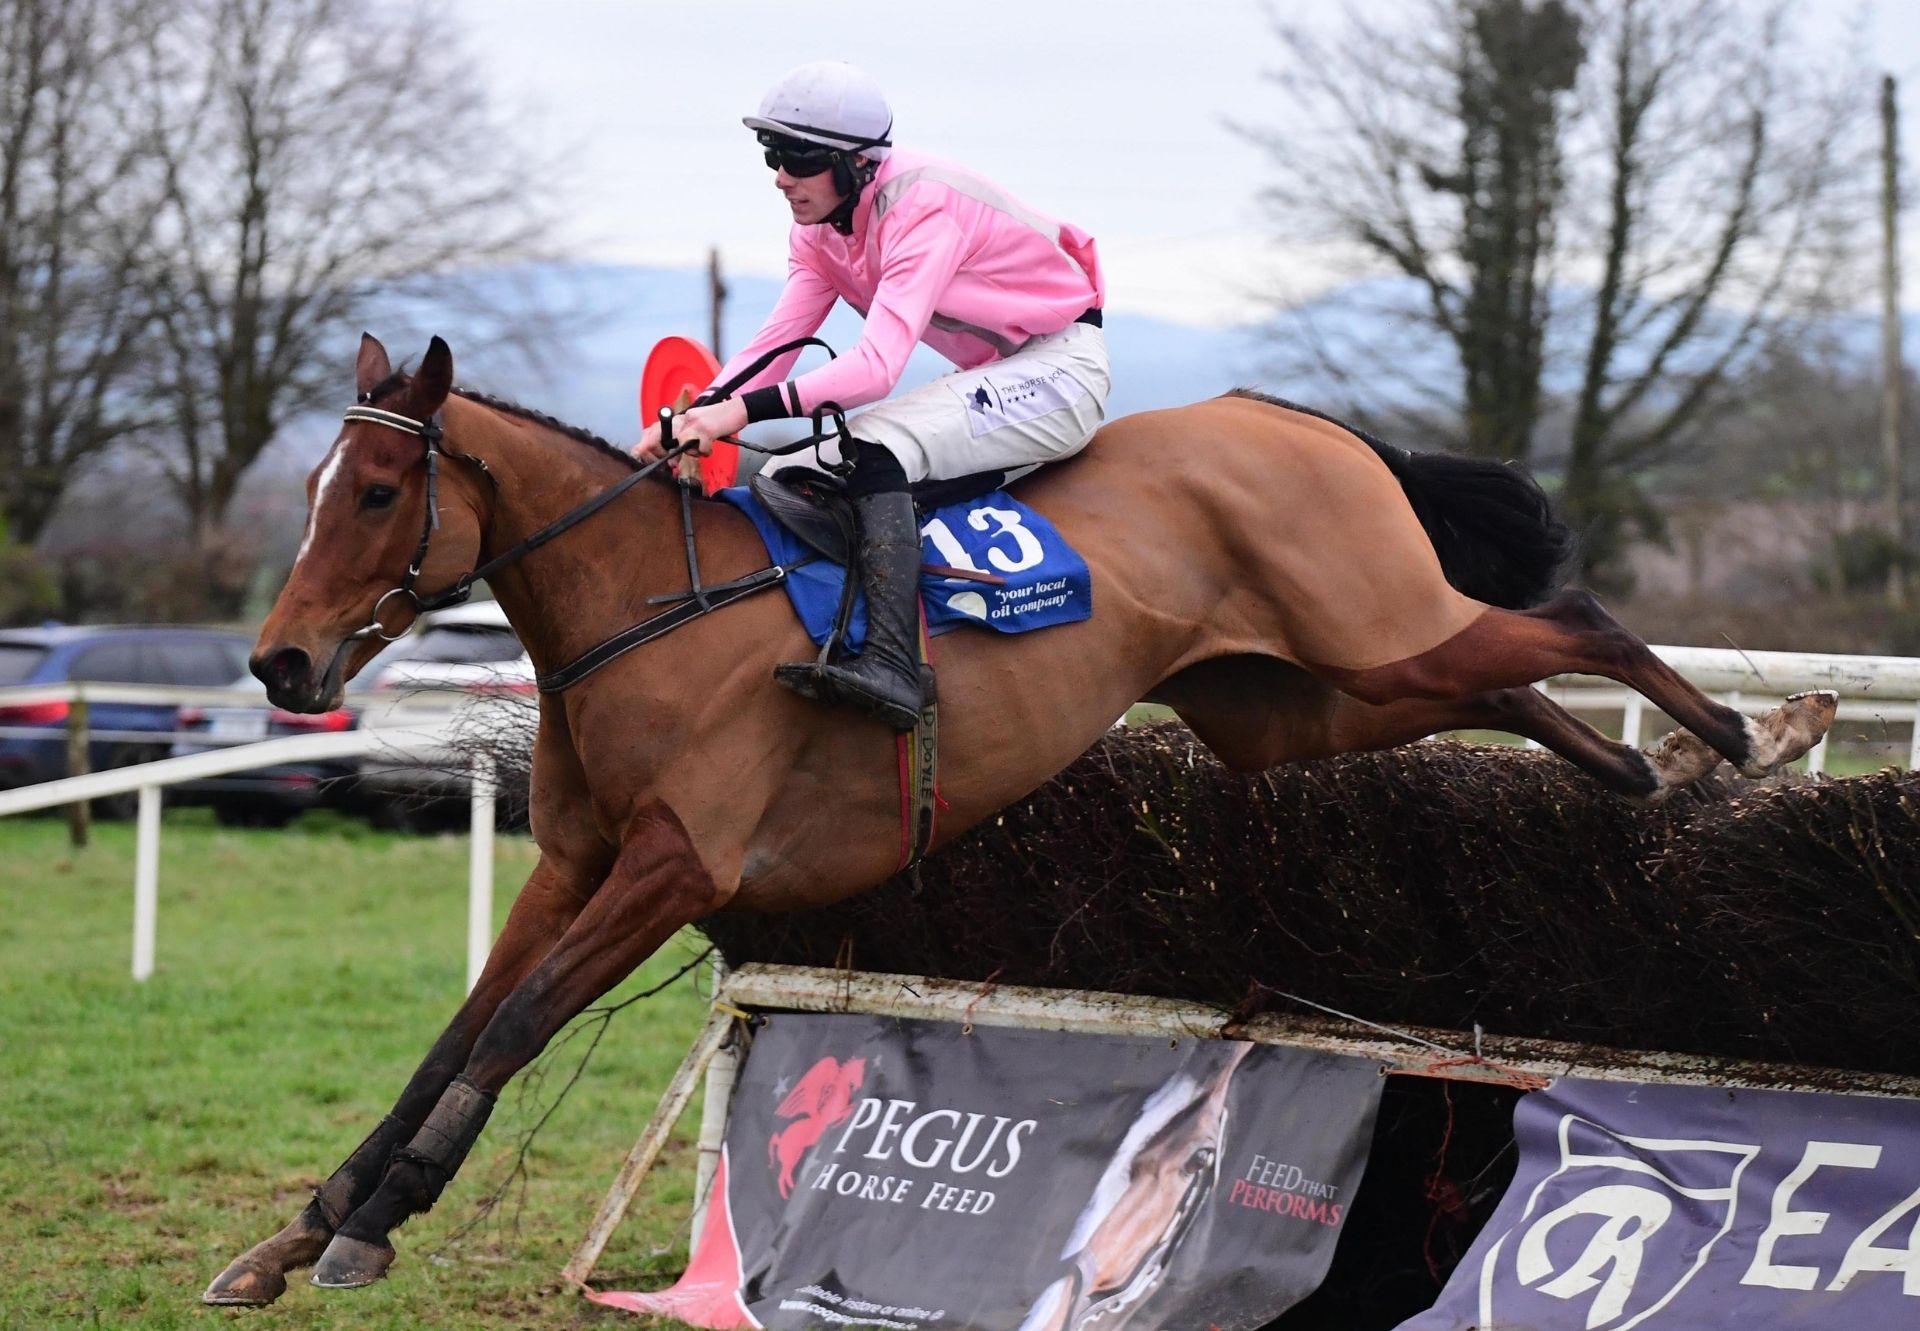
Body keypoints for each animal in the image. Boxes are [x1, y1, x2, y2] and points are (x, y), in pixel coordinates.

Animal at [204, 333, 1834, 1304]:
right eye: (316, 484)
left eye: (378, 488)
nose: (280, 664)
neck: (652, 607)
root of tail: (1299, 421)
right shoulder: (579, 862)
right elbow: (460, 1028)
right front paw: (300, 1227)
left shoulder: (674, 862)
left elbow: (519, 1023)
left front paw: (373, 1219)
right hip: (1303, 697)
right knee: (1506, 681)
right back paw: (1658, 778)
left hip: (1371, 629)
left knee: (1570, 617)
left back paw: (1759, 738)